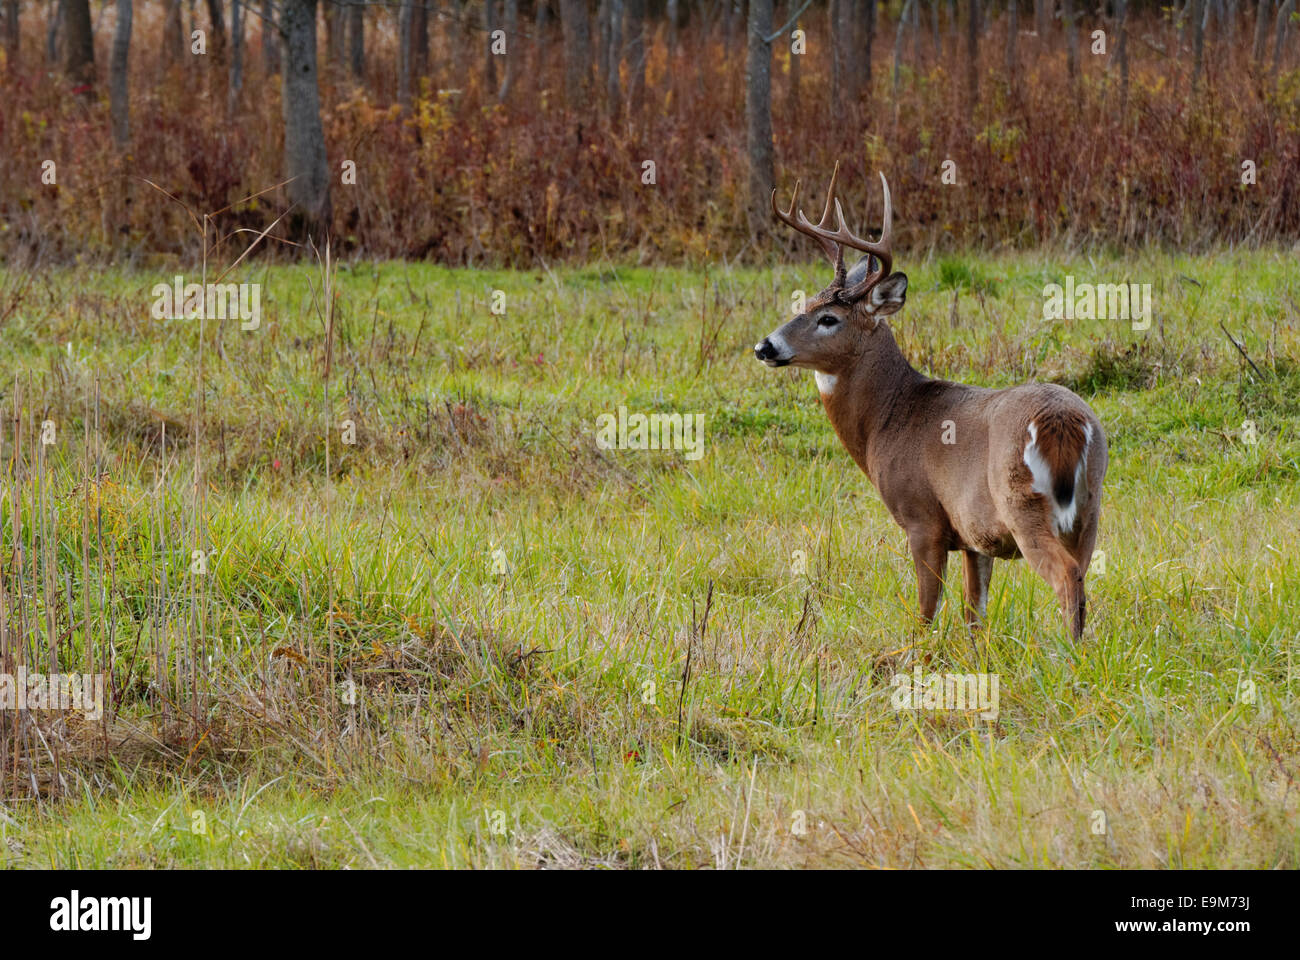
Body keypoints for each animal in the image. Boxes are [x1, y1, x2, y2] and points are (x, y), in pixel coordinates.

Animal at [754, 164, 1108, 640]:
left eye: (828, 318)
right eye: (805, 304)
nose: (765, 346)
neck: (886, 420)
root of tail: (1065, 421)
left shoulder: (923, 518)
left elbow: (926, 613)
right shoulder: (976, 537)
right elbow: (974, 613)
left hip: (1023, 504)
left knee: (1067, 577)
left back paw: (1068, 654)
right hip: (1091, 506)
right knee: (1083, 575)